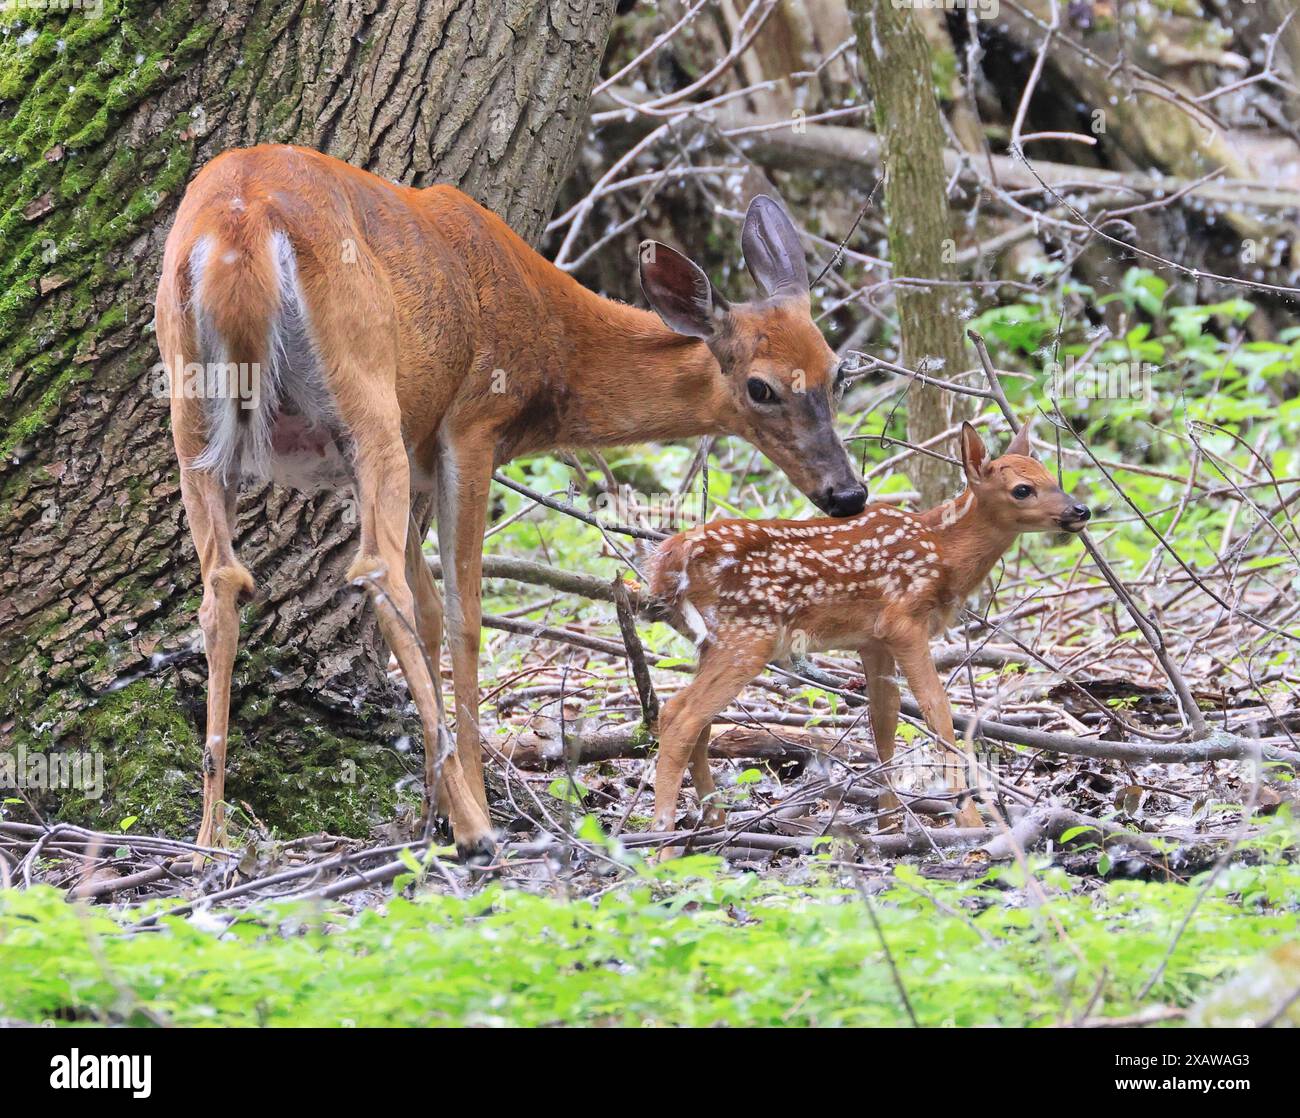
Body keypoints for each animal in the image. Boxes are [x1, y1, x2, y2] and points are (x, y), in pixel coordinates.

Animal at [154, 144, 866, 862]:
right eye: (761, 387)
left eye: (836, 372)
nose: (848, 492)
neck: (553, 341)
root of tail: (241, 222)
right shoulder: (471, 426)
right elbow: (463, 615)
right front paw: (467, 797)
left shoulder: (413, 456)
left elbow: (433, 613)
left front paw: (436, 806)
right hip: (366, 391)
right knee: (376, 575)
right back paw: (476, 829)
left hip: (192, 409)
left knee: (222, 584)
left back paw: (212, 838)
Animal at [645, 418, 1091, 842]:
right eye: (1022, 490)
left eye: (1051, 476)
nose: (1081, 510)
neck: (944, 551)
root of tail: (666, 562)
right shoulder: (904, 620)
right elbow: (937, 710)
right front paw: (968, 817)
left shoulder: (873, 640)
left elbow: (884, 719)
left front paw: (889, 824)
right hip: (748, 635)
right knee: (680, 715)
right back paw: (664, 836)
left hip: (713, 640)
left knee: (696, 720)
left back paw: (713, 822)